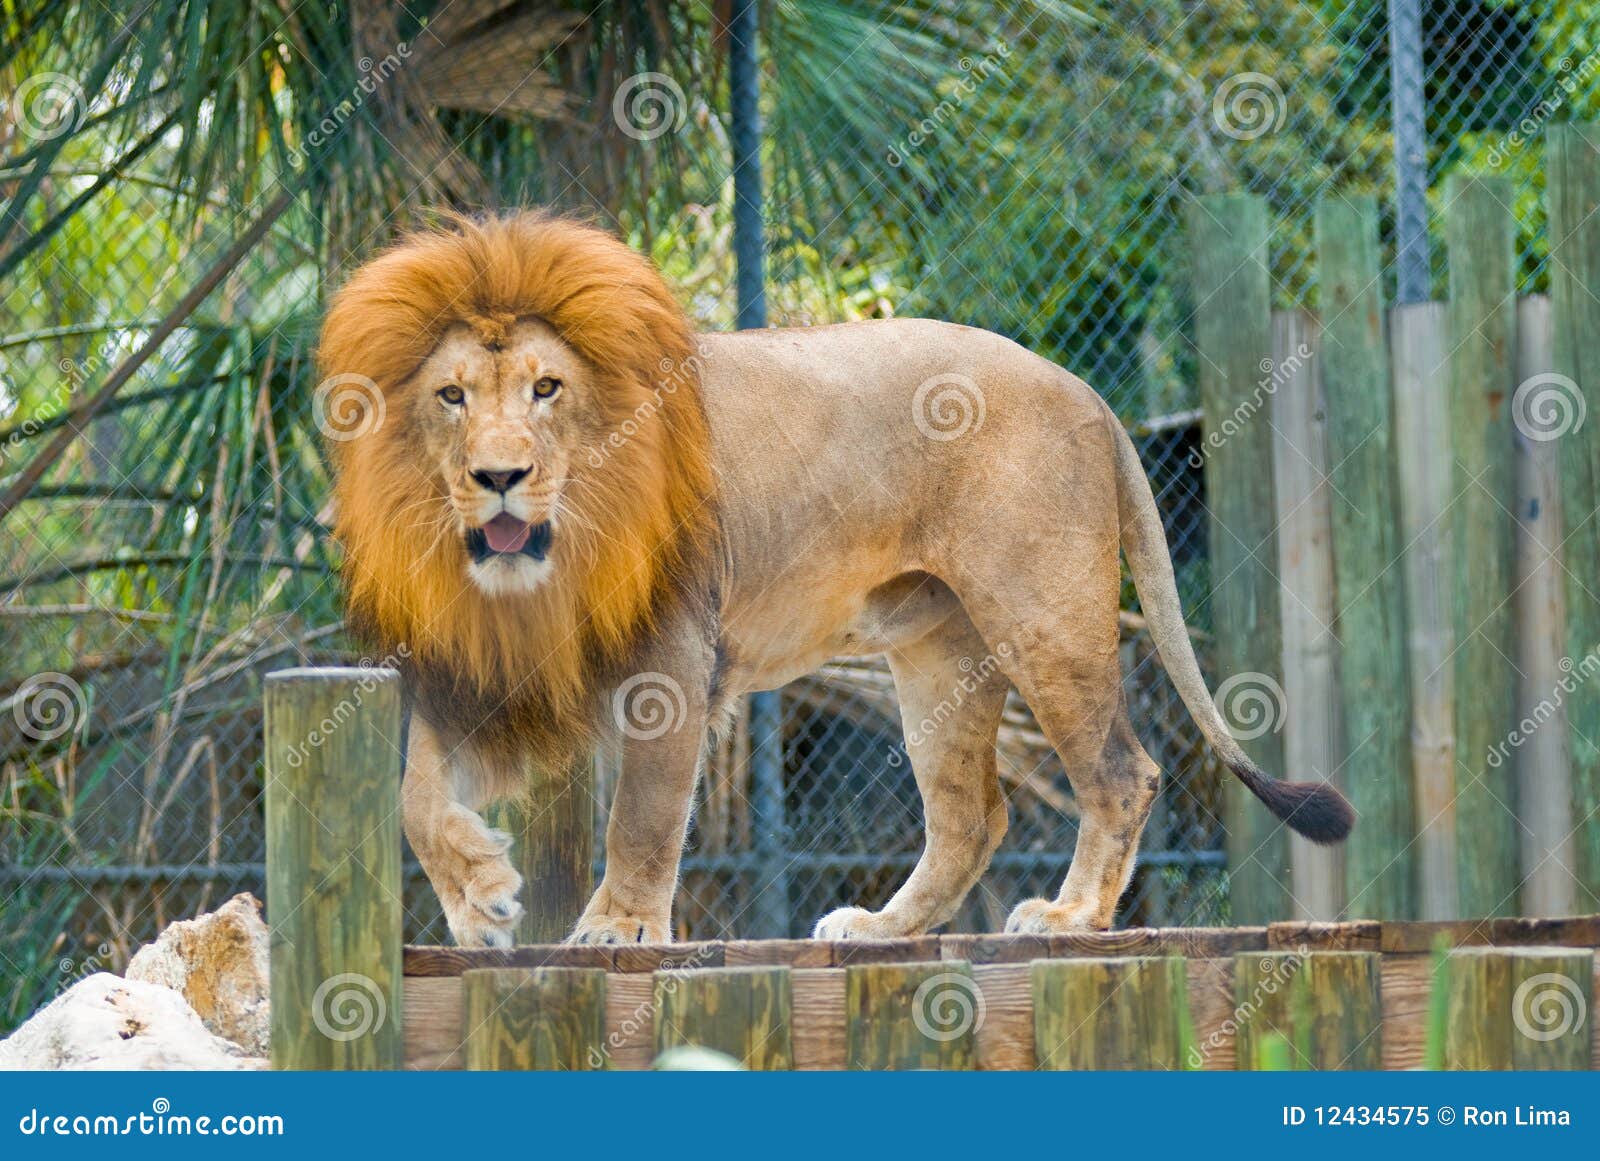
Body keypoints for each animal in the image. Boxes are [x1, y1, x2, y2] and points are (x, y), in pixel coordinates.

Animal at [317, 211, 1353, 948]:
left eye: (546, 388)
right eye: (452, 396)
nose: (498, 476)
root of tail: (1083, 390)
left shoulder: (672, 659)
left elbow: (644, 813)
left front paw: (617, 926)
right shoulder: (481, 658)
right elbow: (414, 795)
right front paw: (481, 899)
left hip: (1041, 616)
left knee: (1120, 772)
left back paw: (1069, 918)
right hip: (939, 652)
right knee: (973, 814)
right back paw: (883, 927)